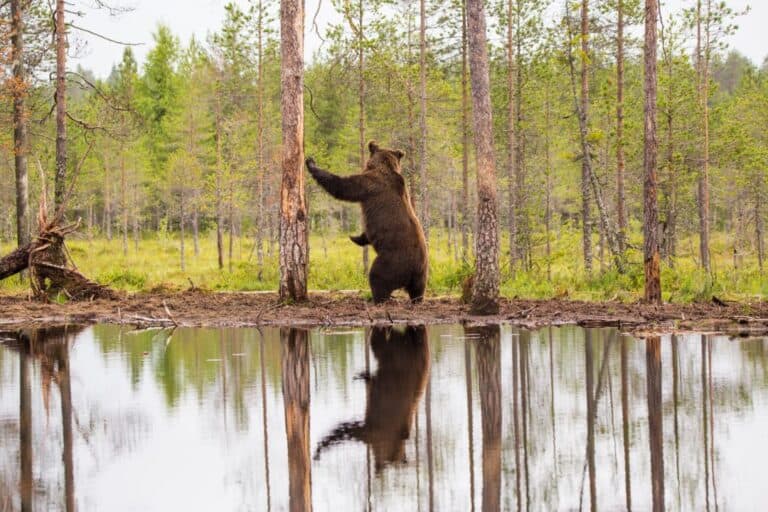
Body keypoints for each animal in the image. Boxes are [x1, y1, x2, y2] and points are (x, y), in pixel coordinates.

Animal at [305, 141, 428, 303]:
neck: (384, 167)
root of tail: (413, 269)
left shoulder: (370, 184)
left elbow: (343, 187)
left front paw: (311, 163)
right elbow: (366, 234)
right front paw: (356, 237)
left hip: (393, 260)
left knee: (378, 276)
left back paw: (377, 298)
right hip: (422, 272)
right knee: (418, 289)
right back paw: (416, 299)